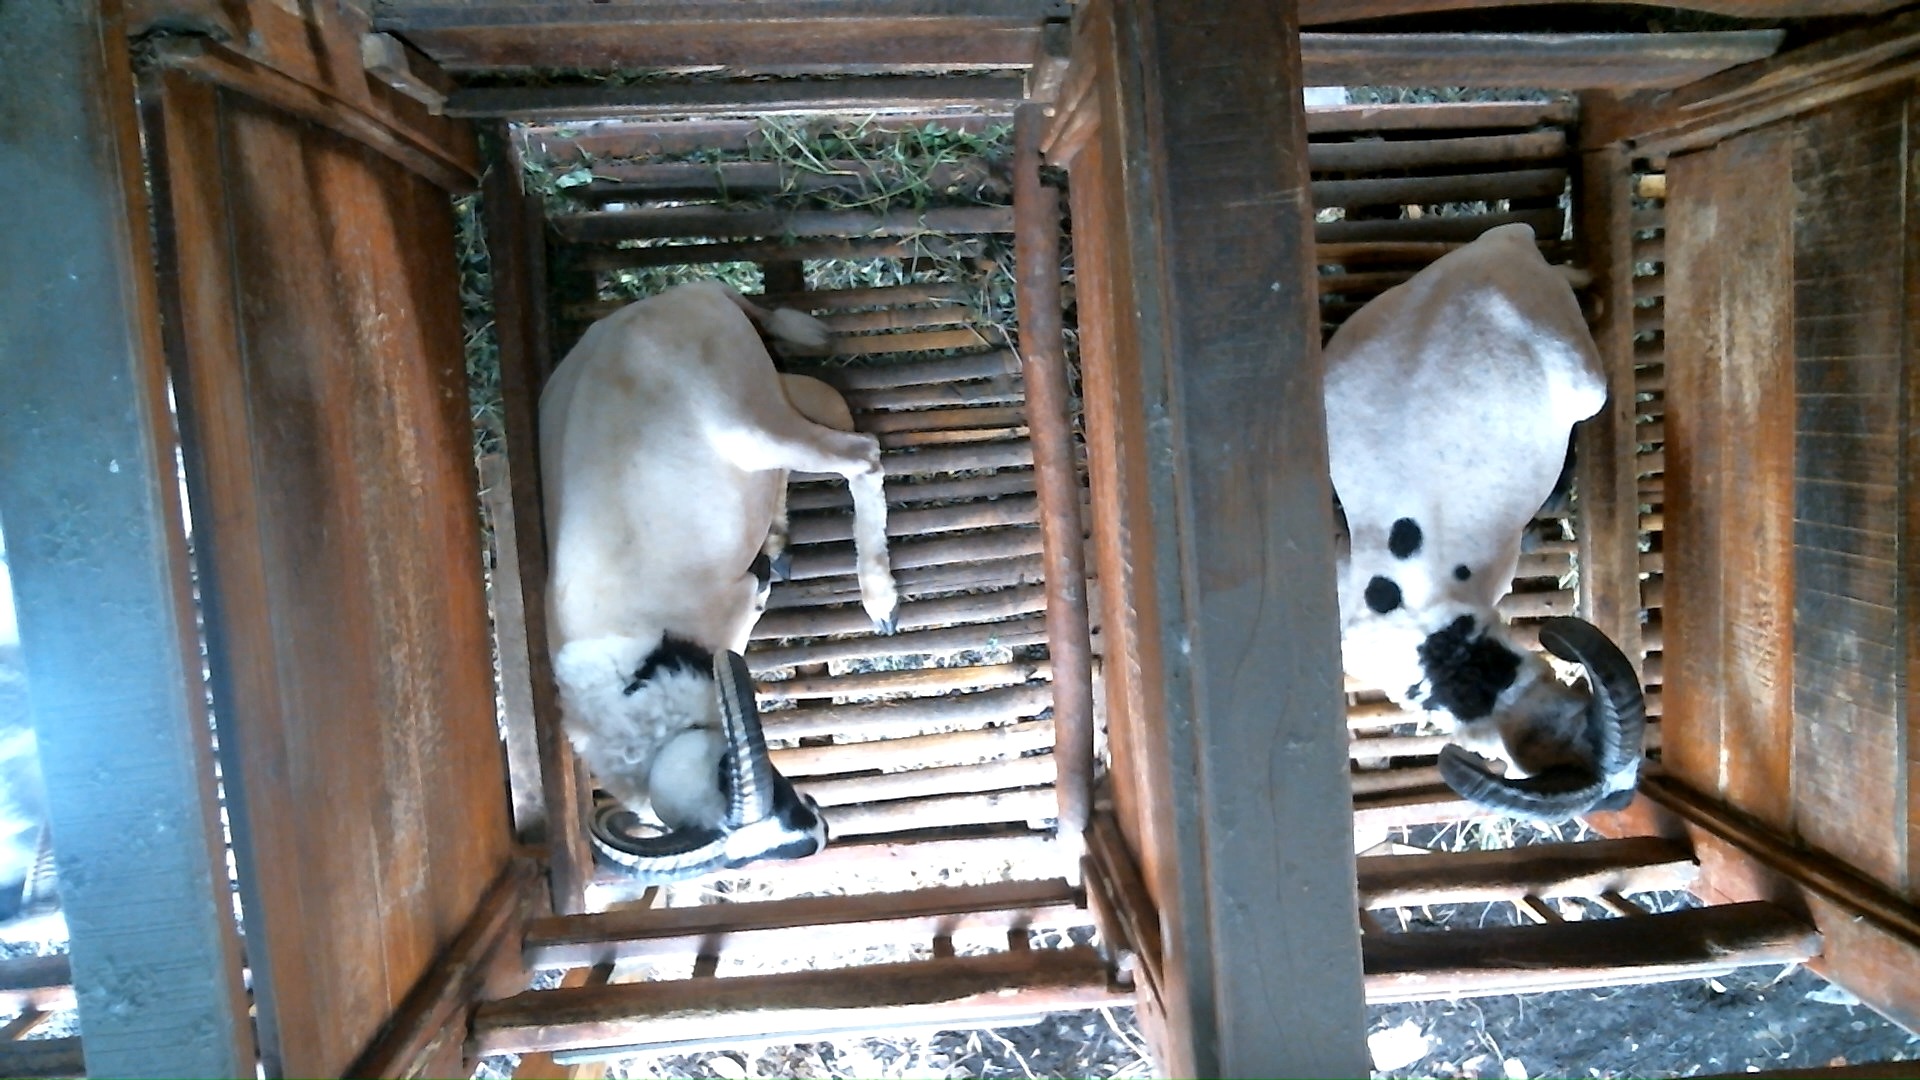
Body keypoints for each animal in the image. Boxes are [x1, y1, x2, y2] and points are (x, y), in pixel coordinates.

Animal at [541, 281, 898, 882]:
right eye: (736, 862)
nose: (818, 837)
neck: (630, 672)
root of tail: (691, 291)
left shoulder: (736, 612)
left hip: (753, 423)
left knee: (861, 453)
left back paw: (880, 600)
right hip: (770, 392)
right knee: (826, 401)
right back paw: (778, 539)